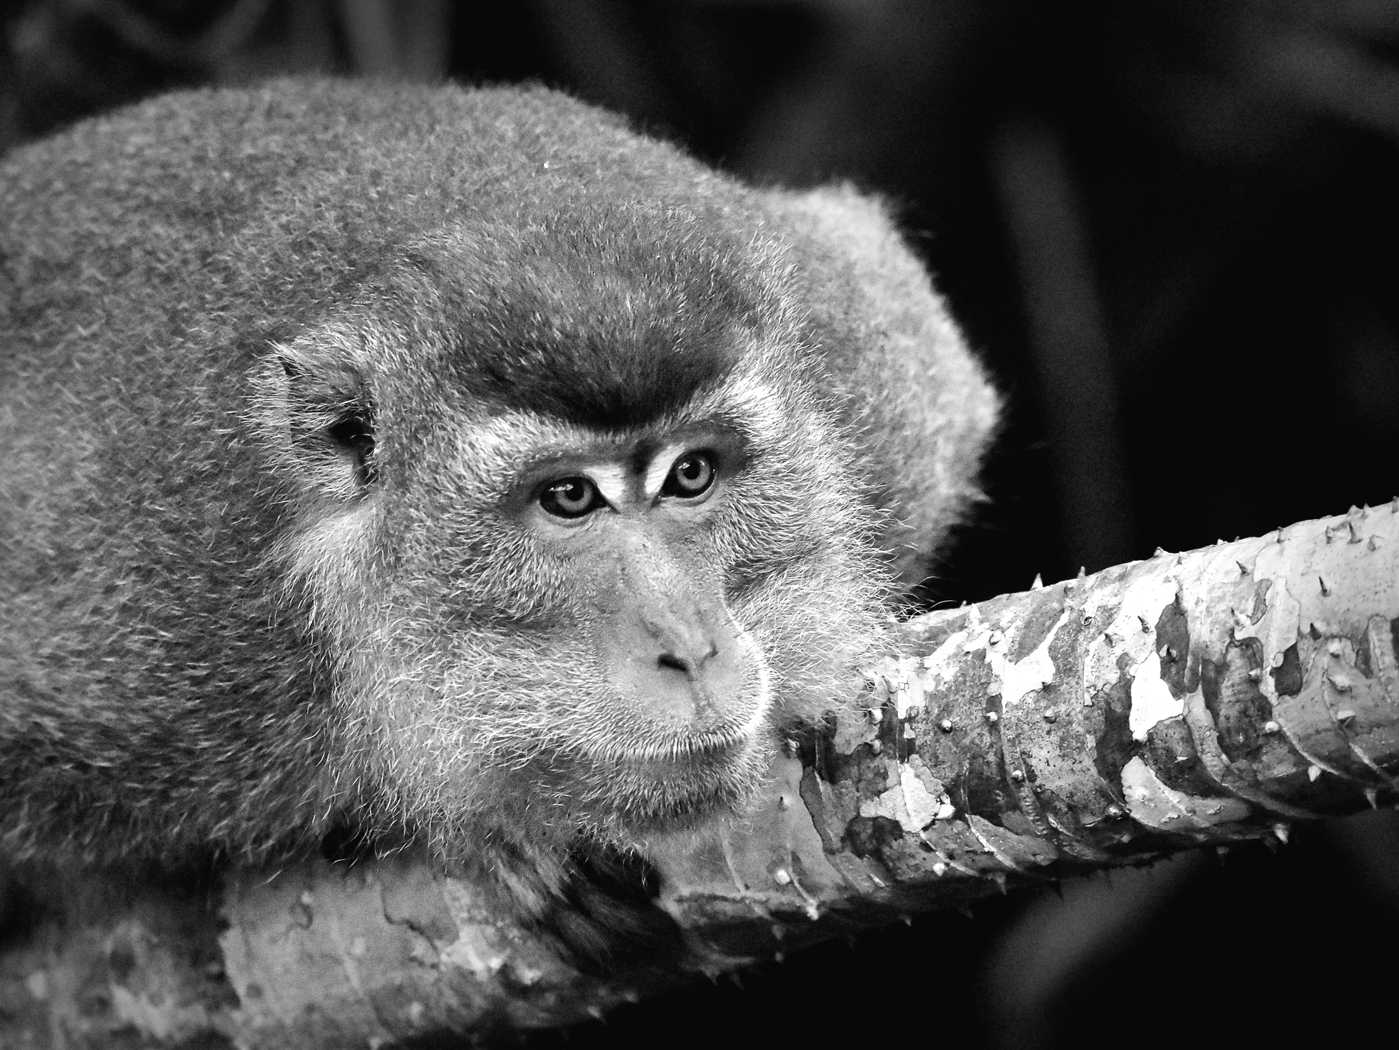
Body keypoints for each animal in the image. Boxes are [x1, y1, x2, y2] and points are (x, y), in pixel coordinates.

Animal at [0, 79, 997, 958]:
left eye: (690, 474)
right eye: (568, 497)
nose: (689, 647)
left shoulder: (865, 379)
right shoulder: (170, 646)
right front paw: (477, 827)